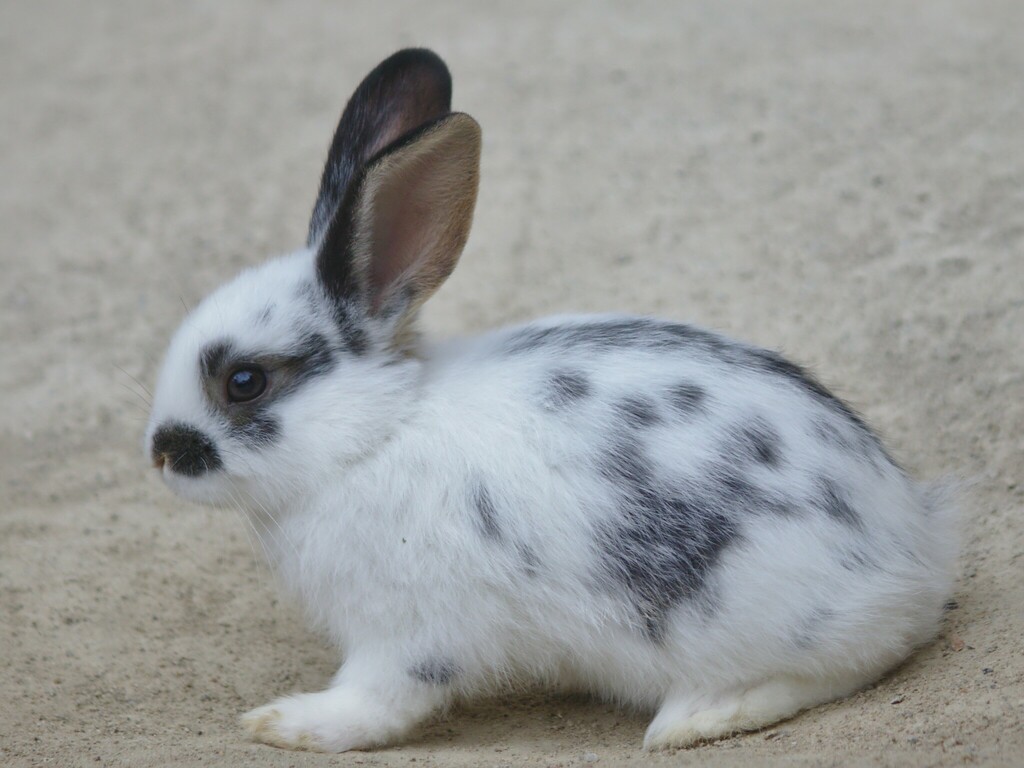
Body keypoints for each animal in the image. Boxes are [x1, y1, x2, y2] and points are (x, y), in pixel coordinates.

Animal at [145, 48, 959, 752]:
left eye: (244, 381)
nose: (160, 453)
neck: (374, 433)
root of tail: (915, 545)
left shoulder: (408, 632)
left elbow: (377, 701)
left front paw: (287, 723)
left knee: (848, 661)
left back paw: (695, 719)